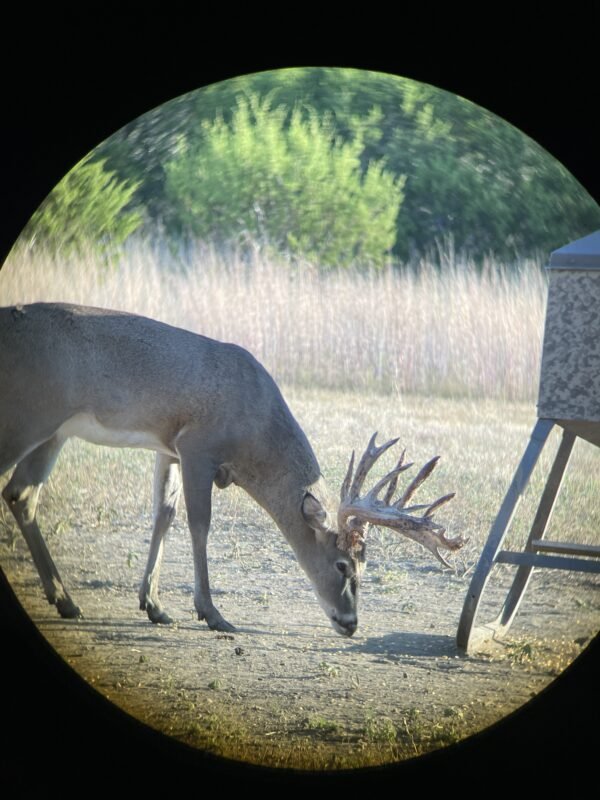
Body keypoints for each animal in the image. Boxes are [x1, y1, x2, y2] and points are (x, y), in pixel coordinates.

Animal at [0, 302, 464, 636]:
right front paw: (211, 613)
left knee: (21, 494)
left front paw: (154, 606)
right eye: (342, 565)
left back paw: (65, 600)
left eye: (366, 567)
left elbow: (163, 514)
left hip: (54, 432)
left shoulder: (168, 447)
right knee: (19, 489)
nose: (350, 624)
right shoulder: (198, 446)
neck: (254, 434)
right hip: (28, 416)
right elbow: (199, 524)